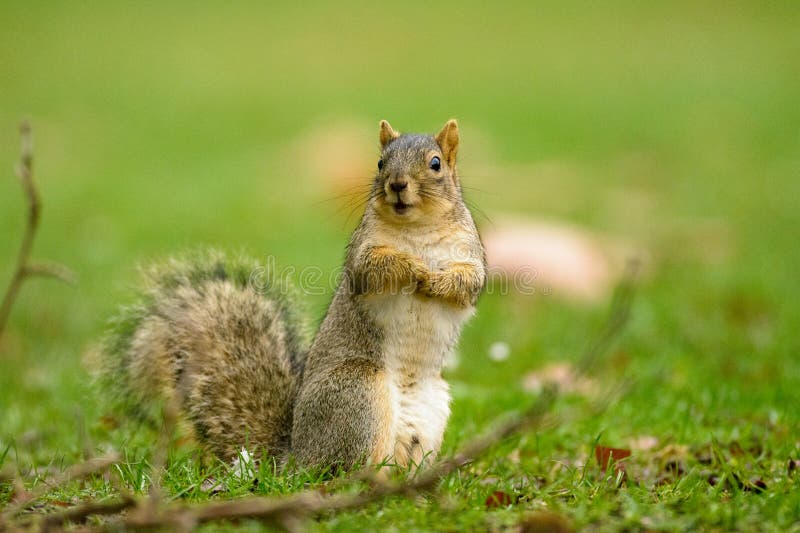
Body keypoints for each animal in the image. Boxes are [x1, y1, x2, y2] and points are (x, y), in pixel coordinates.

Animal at [99, 119, 487, 470]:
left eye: (435, 163)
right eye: (380, 163)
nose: (396, 184)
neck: (416, 229)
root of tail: (294, 455)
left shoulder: (472, 257)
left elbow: (468, 283)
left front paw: (435, 281)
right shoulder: (362, 253)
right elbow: (374, 267)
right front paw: (412, 268)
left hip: (431, 412)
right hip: (359, 390)